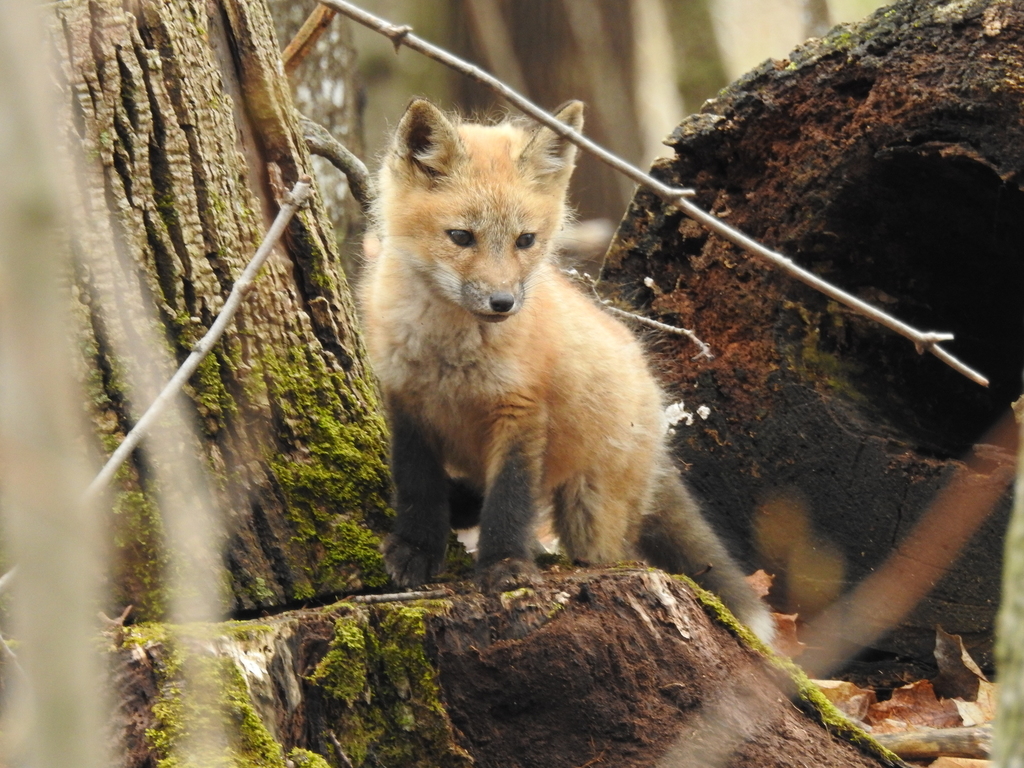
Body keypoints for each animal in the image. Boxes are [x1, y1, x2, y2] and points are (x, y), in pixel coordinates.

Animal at [360, 98, 775, 643]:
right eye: (461, 237)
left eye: (525, 240)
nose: (503, 302)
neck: (450, 353)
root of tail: (652, 398)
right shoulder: (407, 403)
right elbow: (416, 487)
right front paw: (416, 551)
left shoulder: (521, 410)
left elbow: (510, 499)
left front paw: (506, 567)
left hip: (590, 517)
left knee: (591, 542)